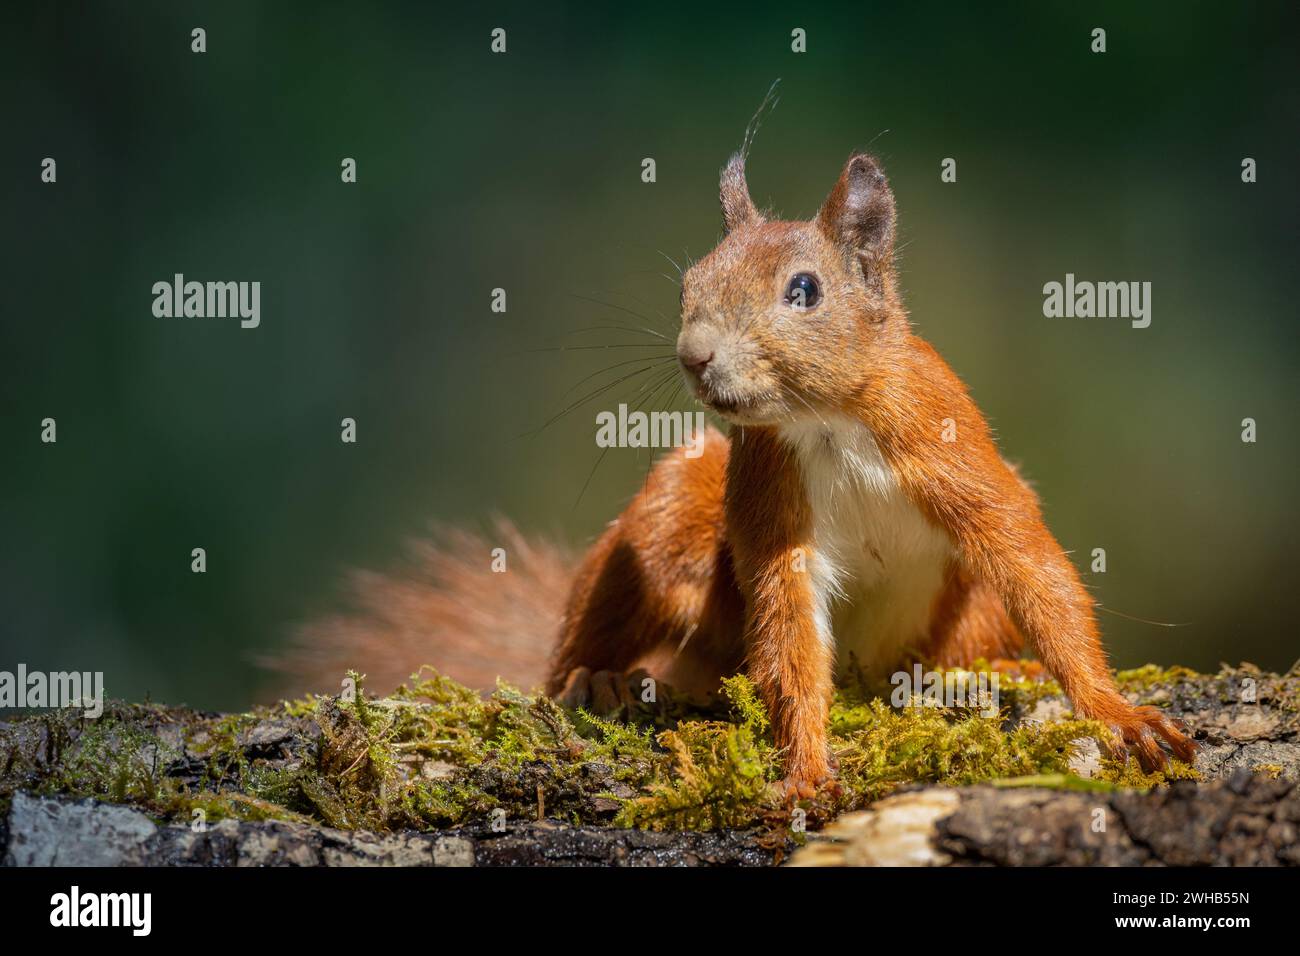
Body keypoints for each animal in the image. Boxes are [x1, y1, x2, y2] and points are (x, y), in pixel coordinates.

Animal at [270, 151, 1196, 798]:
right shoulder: (771, 504)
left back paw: (994, 671)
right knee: (587, 640)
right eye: (689, 282)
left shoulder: (954, 451)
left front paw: (1113, 712)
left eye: (804, 290)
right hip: (664, 528)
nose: (694, 354)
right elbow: (787, 629)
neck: (829, 421)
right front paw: (809, 764)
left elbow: (1032, 567)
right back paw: (598, 678)